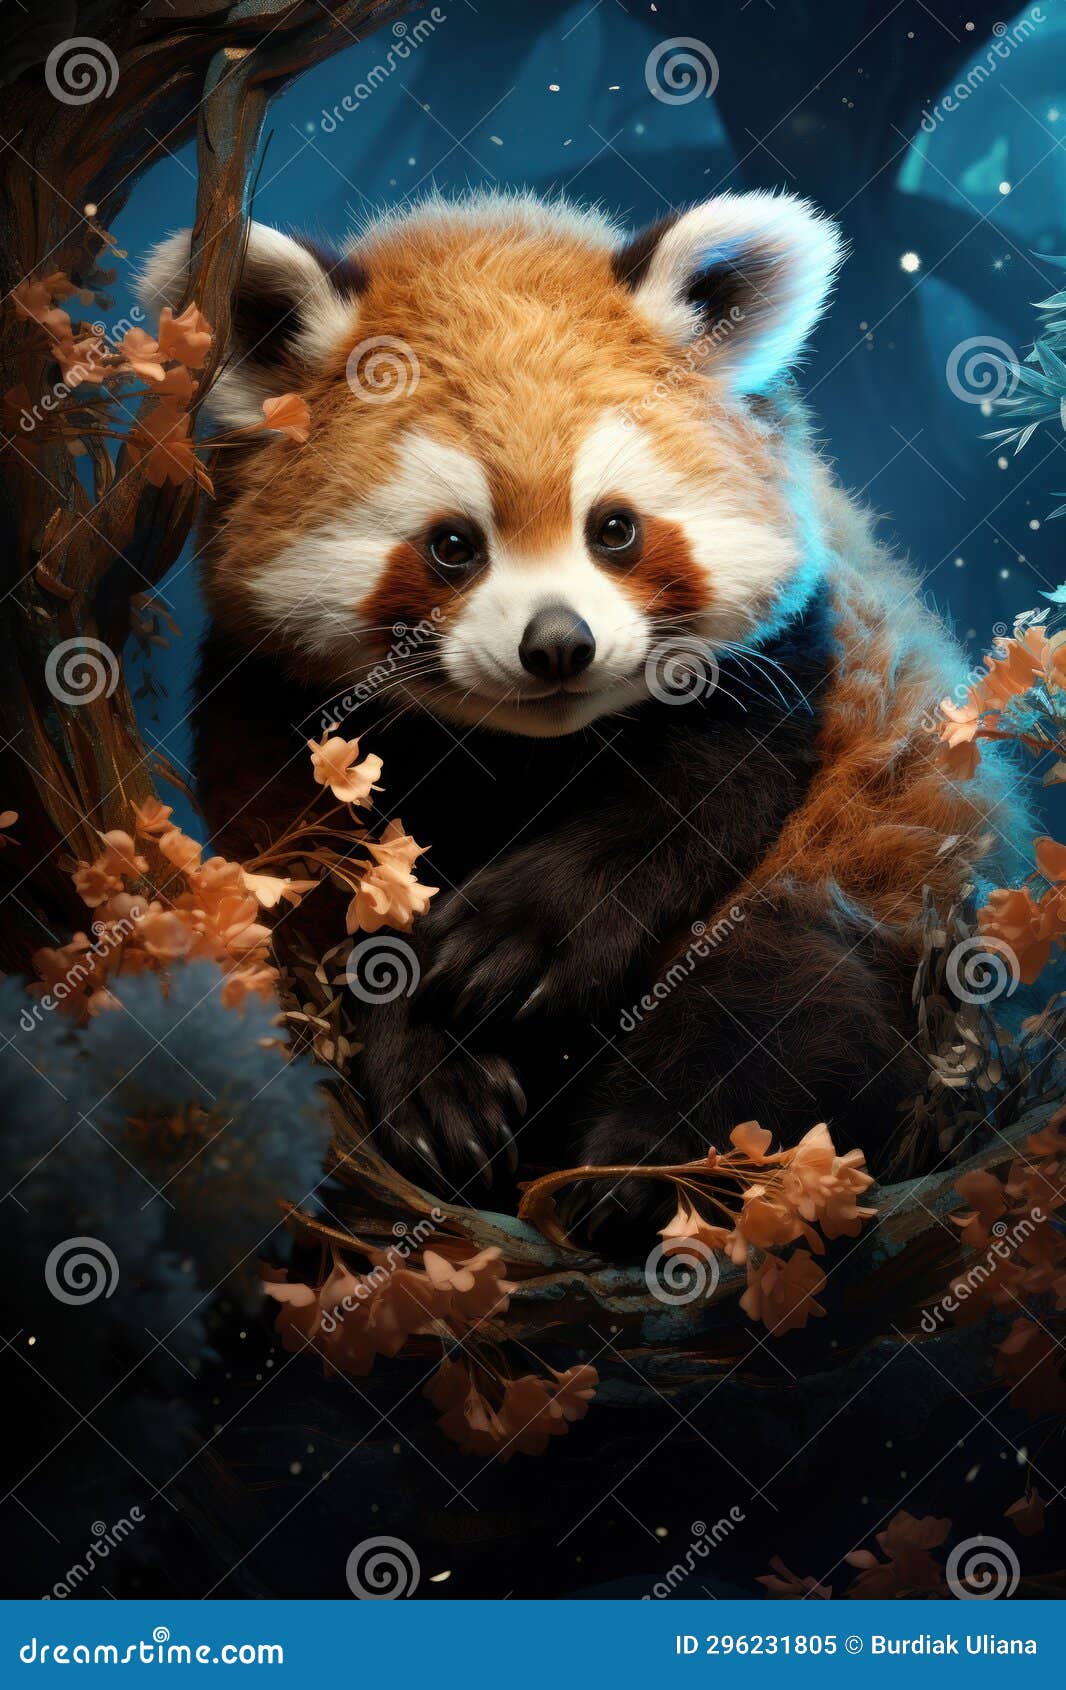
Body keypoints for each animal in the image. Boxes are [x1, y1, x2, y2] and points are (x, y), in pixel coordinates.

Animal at [140, 189, 1013, 1249]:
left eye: (615, 528)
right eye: (453, 546)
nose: (558, 644)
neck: (529, 754)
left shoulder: (787, 675)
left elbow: (691, 809)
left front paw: (512, 942)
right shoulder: (264, 706)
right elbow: (326, 882)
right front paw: (434, 1077)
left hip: (865, 897)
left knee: (782, 1001)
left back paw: (642, 1169)